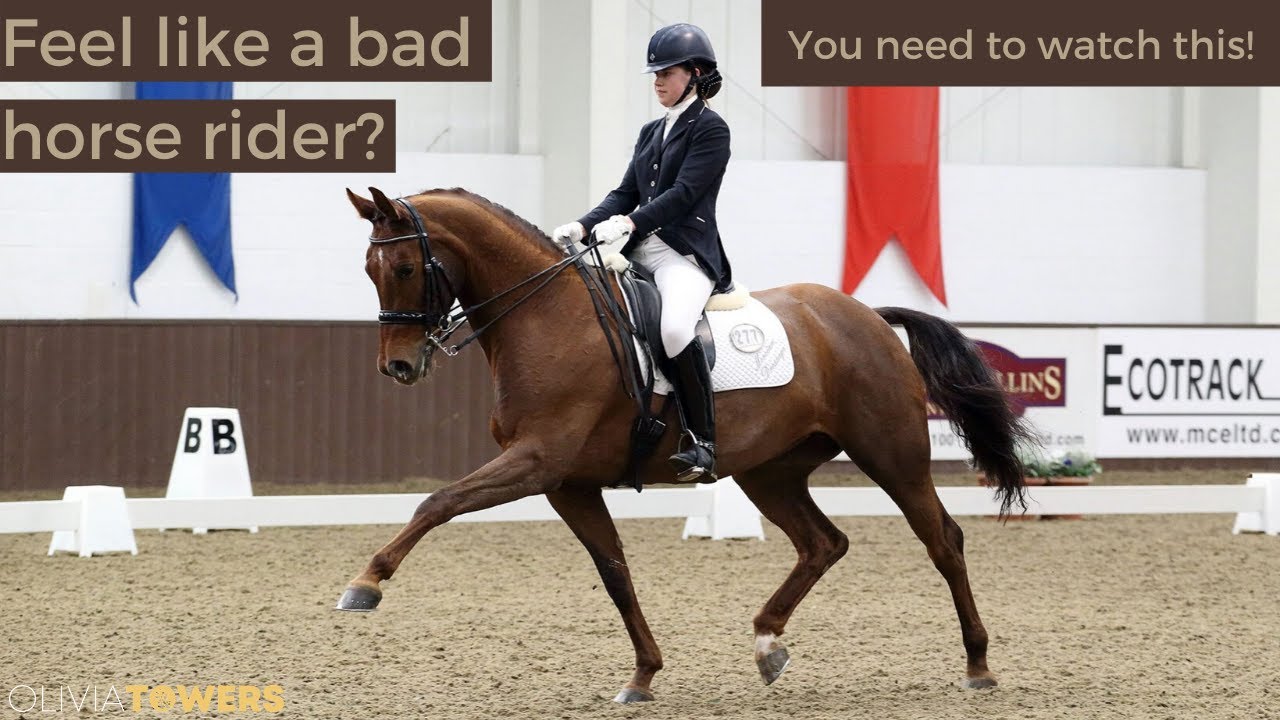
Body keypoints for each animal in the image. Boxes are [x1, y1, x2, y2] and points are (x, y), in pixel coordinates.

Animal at [337, 186, 1034, 703]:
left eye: (405, 268)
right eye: (369, 271)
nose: (398, 367)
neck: (548, 317)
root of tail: (866, 315)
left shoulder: (536, 462)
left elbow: (438, 502)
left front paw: (366, 584)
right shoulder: (568, 483)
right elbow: (615, 572)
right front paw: (643, 676)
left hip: (892, 455)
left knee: (943, 540)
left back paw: (978, 666)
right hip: (770, 472)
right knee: (822, 543)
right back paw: (768, 644)